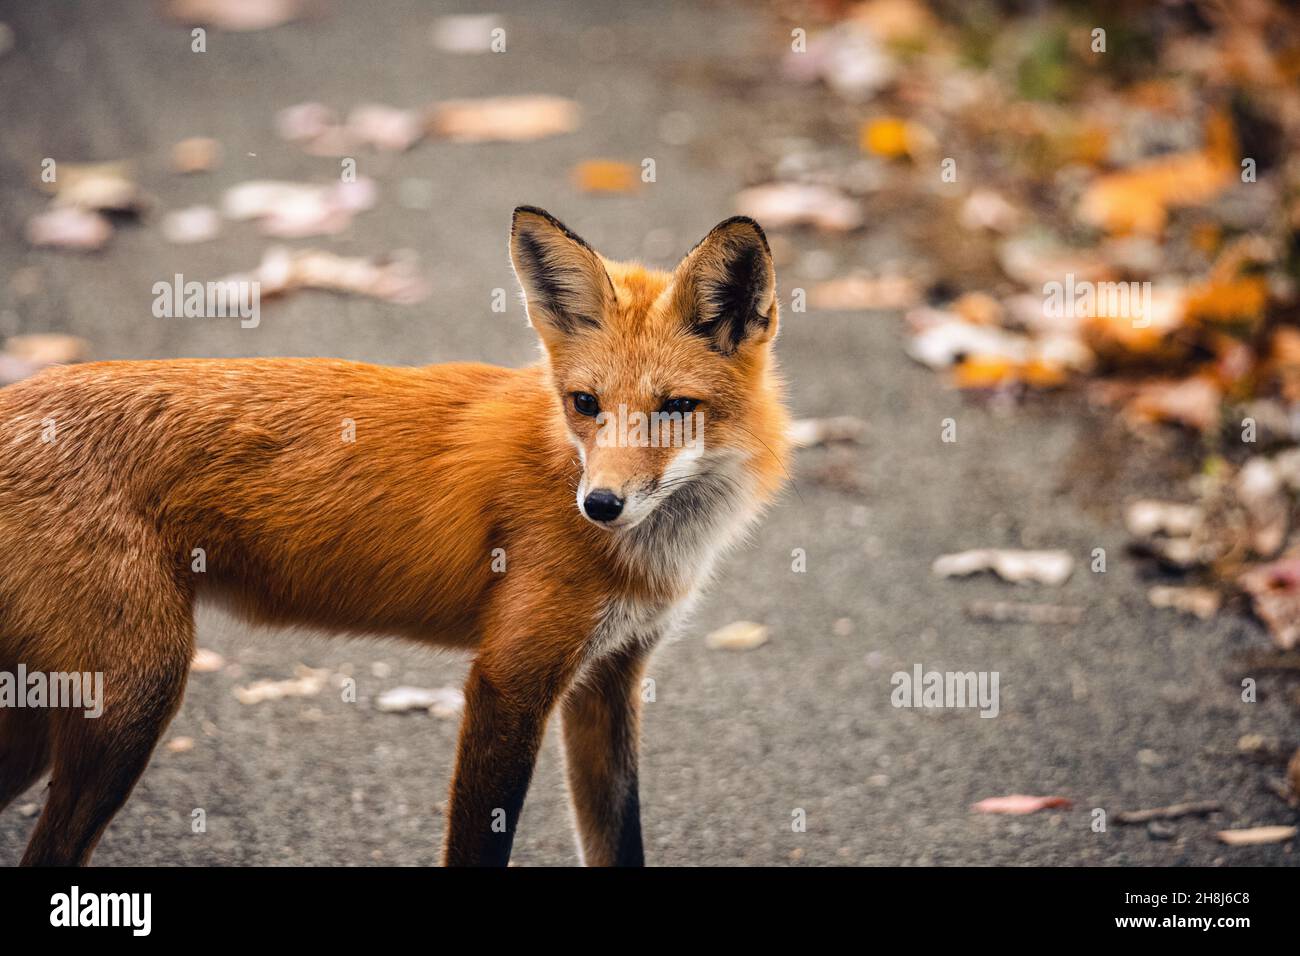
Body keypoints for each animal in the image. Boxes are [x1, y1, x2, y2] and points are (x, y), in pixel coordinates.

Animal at [0, 206, 790, 867]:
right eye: (586, 404)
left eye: (676, 408)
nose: (599, 504)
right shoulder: (509, 679)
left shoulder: (610, 677)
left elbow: (618, 842)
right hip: (132, 702)